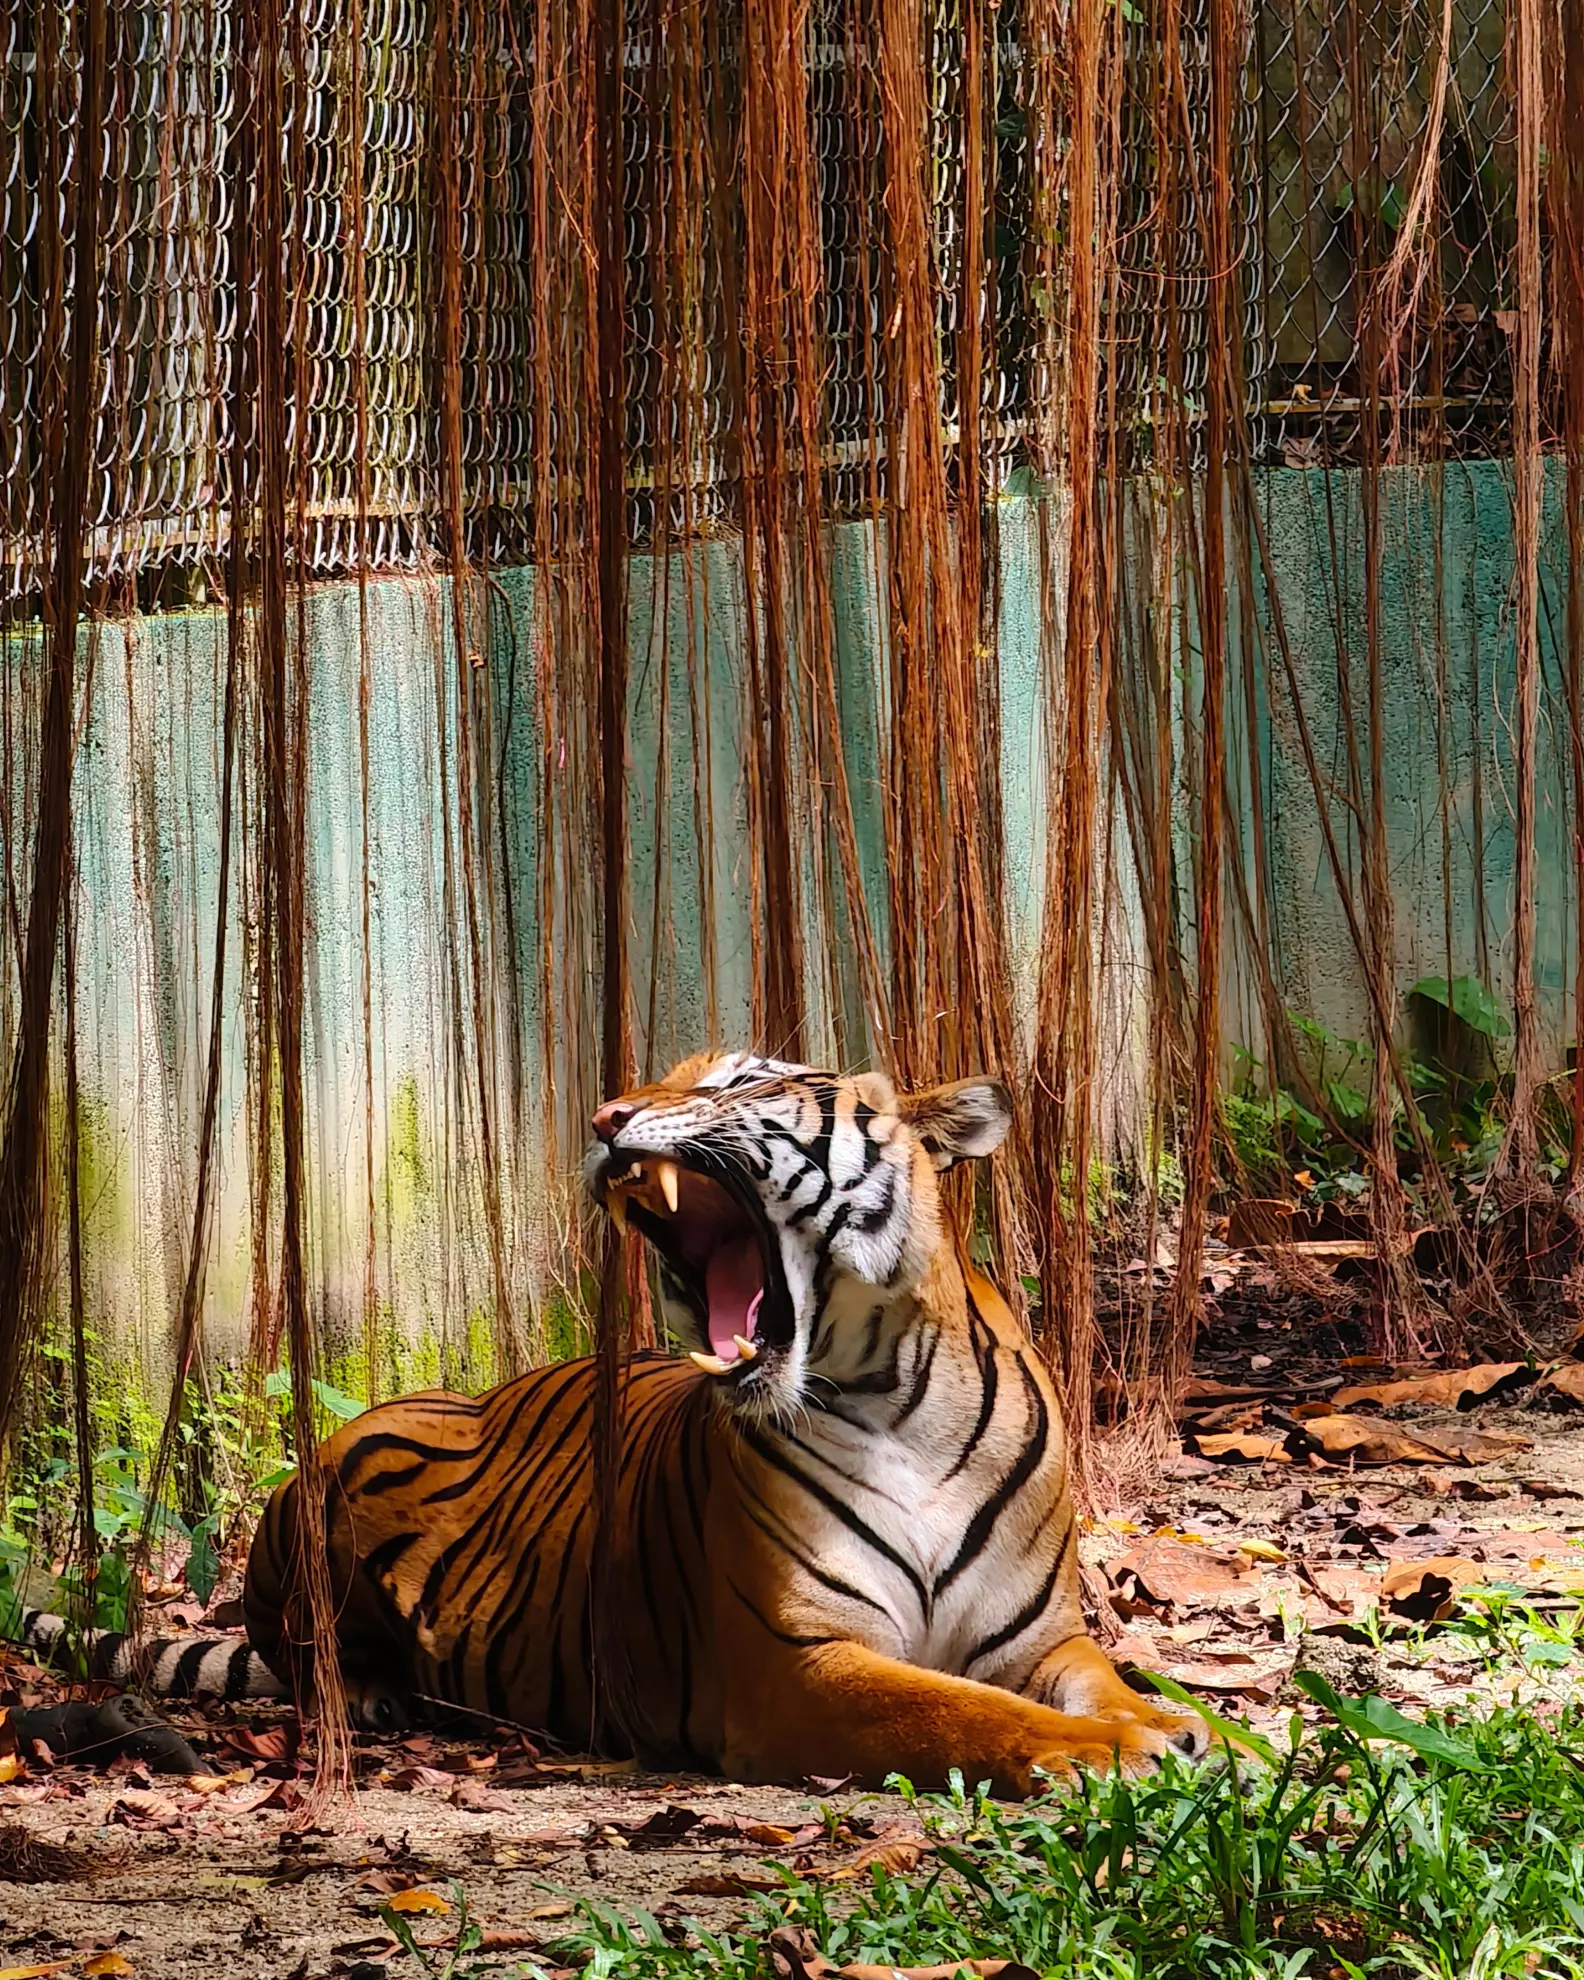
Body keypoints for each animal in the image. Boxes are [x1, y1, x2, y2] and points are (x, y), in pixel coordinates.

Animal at [15, 1052, 1204, 1795]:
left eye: (745, 1078)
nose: (603, 1122)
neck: (893, 1399)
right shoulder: (798, 1667)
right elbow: (966, 1714)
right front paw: (1111, 1757)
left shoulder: (1038, 1636)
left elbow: (1099, 1678)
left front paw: (1172, 1724)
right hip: (326, 1478)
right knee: (299, 1648)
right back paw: (375, 1693)